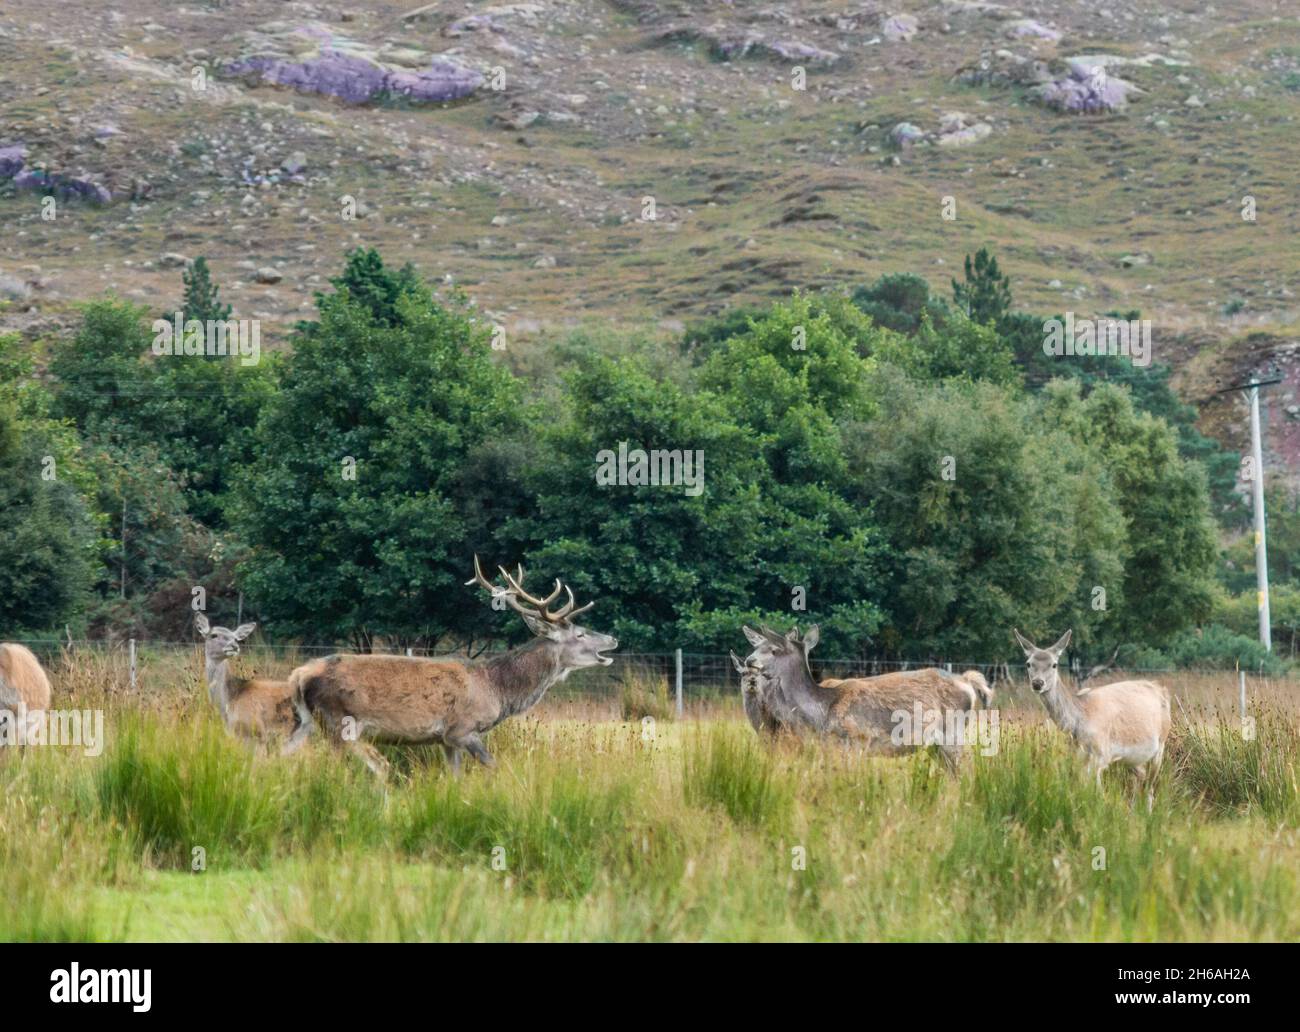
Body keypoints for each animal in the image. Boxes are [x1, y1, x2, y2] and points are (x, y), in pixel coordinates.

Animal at [282, 558, 618, 777]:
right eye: (580, 634)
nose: (612, 639)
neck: (496, 689)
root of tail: (299, 675)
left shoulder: (445, 740)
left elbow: (453, 778)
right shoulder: (462, 729)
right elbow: (492, 766)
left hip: (307, 723)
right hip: (341, 722)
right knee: (370, 766)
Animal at [740, 625, 992, 770]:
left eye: (775, 649)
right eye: (757, 645)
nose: (749, 661)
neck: (821, 713)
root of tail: (968, 682)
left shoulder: (855, 742)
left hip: (953, 736)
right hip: (936, 746)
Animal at [1014, 629, 1170, 809]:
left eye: (1054, 664)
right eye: (1028, 663)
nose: (1038, 683)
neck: (1079, 724)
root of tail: (1161, 688)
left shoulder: (1101, 755)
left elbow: (1099, 796)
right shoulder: (1077, 757)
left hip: (1161, 745)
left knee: (1150, 788)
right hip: (1132, 759)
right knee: (1141, 777)